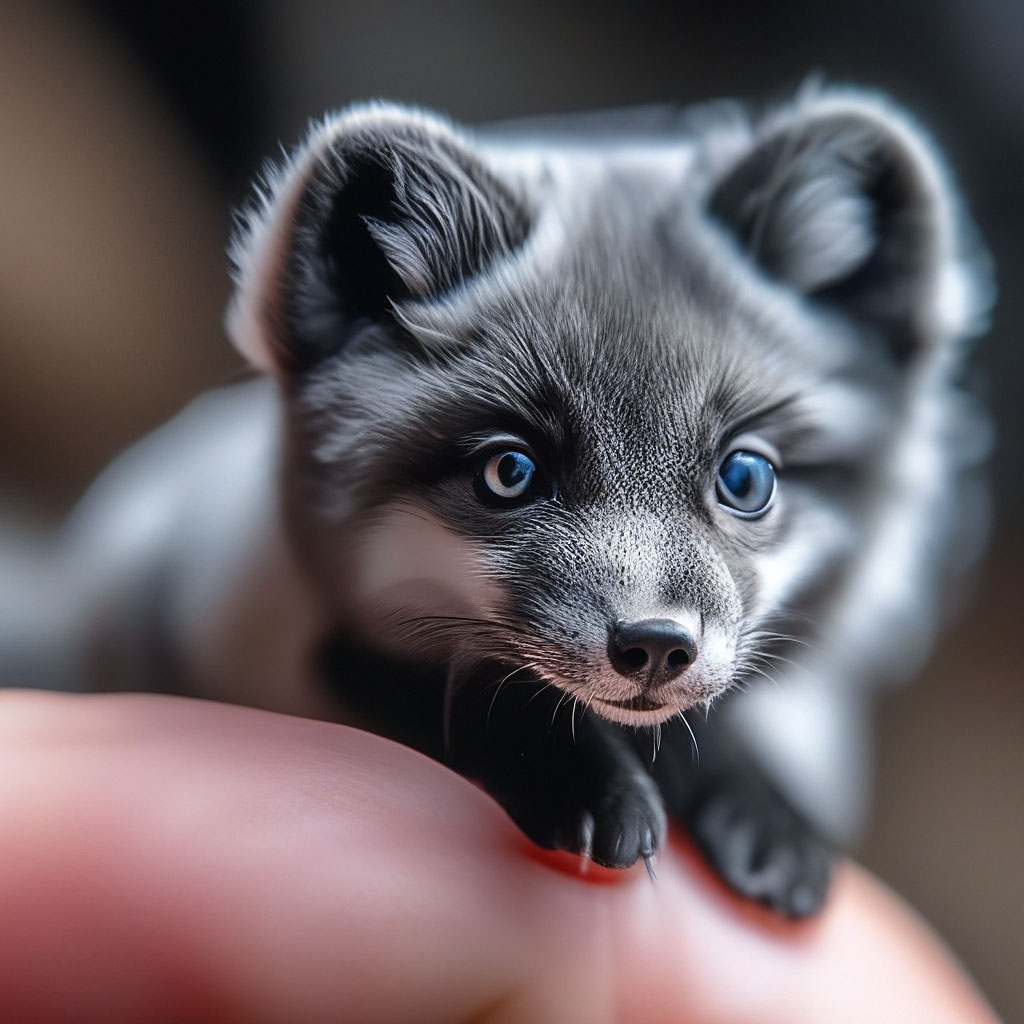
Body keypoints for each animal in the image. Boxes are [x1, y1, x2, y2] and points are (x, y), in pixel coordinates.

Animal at [1, 84, 991, 918]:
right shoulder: (251, 626)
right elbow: (446, 679)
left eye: (745, 478)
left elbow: (711, 724)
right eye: (510, 472)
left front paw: (762, 815)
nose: (655, 646)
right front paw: (585, 783)